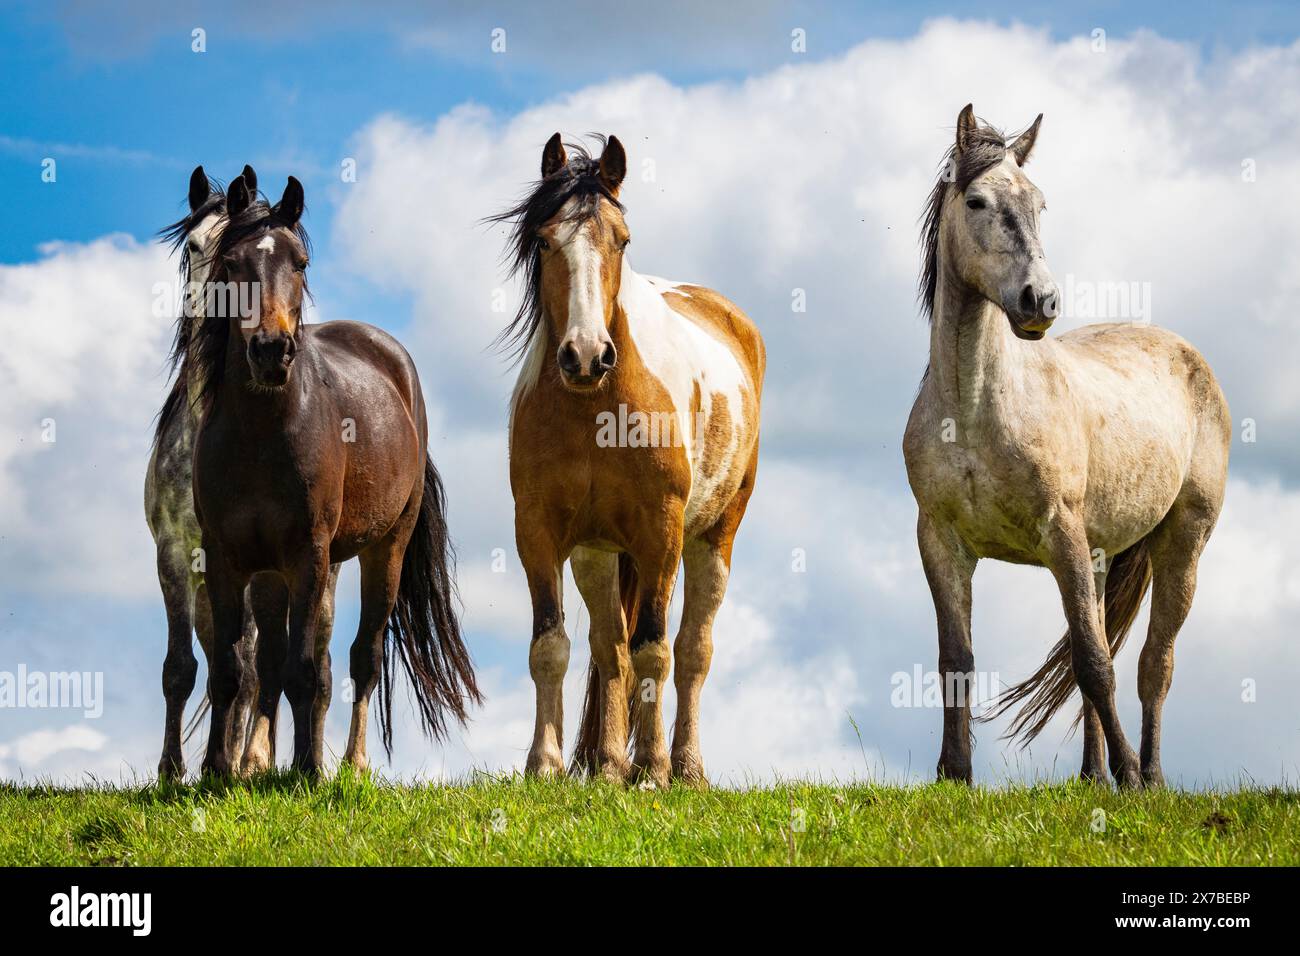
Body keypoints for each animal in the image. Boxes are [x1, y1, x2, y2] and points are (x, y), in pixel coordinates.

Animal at [187, 172, 479, 775]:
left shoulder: (310, 555)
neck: (260, 434)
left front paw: (304, 771)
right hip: (271, 572)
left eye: (299, 262)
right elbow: (232, 667)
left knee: (361, 656)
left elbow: (305, 668)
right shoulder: (225, 555)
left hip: (384, 550)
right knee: (271, 659)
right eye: (235, 263)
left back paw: (351, 764)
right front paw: (217, 771)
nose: (271, 350)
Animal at [491, 135, 765, 788]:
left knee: (692, 650)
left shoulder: (660, 535)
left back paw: (681, 766)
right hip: (596, 554)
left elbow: (655, 650)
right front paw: (545, 763)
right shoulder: (539, 533)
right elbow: (555, 646)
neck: (596, 408)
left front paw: (653, 768)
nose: (587, 355)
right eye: (545, 239)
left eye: (620, 239)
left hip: (712, 539)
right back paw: (612, 764)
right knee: (608, 646)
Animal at [902, 105, 1230, 788]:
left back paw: (1148, 777)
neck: (973, 414)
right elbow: (955, 661)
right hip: (1103, 556)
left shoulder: (1062, 534)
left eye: (1040, 203)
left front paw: (1130, 775)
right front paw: (954, 774)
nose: (1041, 301)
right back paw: (1092, 777)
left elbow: (1094, 663)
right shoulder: (941, 542)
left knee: (1153, 664)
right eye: (976, 200)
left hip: (1182, 542)